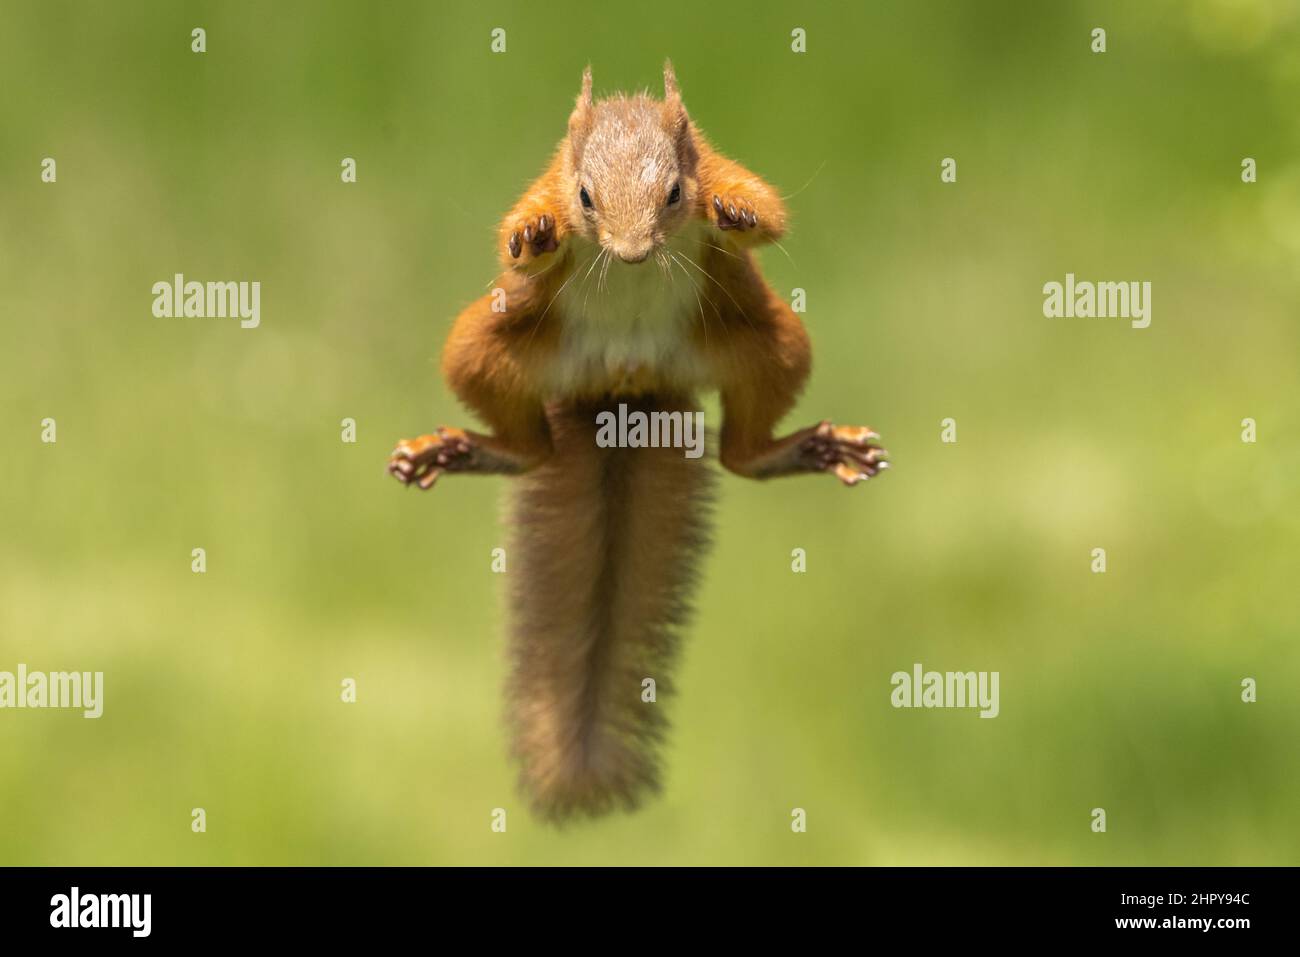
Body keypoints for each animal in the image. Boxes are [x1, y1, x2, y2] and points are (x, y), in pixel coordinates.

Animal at [388, 62, 888, 822]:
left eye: (676, 191)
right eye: (585, 196)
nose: (629, 253)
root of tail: (627, 388)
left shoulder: (717, 164)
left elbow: (767, 207)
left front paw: (735, 212)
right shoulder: (547, 183)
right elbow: (514, 235)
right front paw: (535, 236)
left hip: (767, 341)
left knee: (743, 450)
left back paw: (808, 448)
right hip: (484, 345)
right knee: (531, 445)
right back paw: (466, 449)